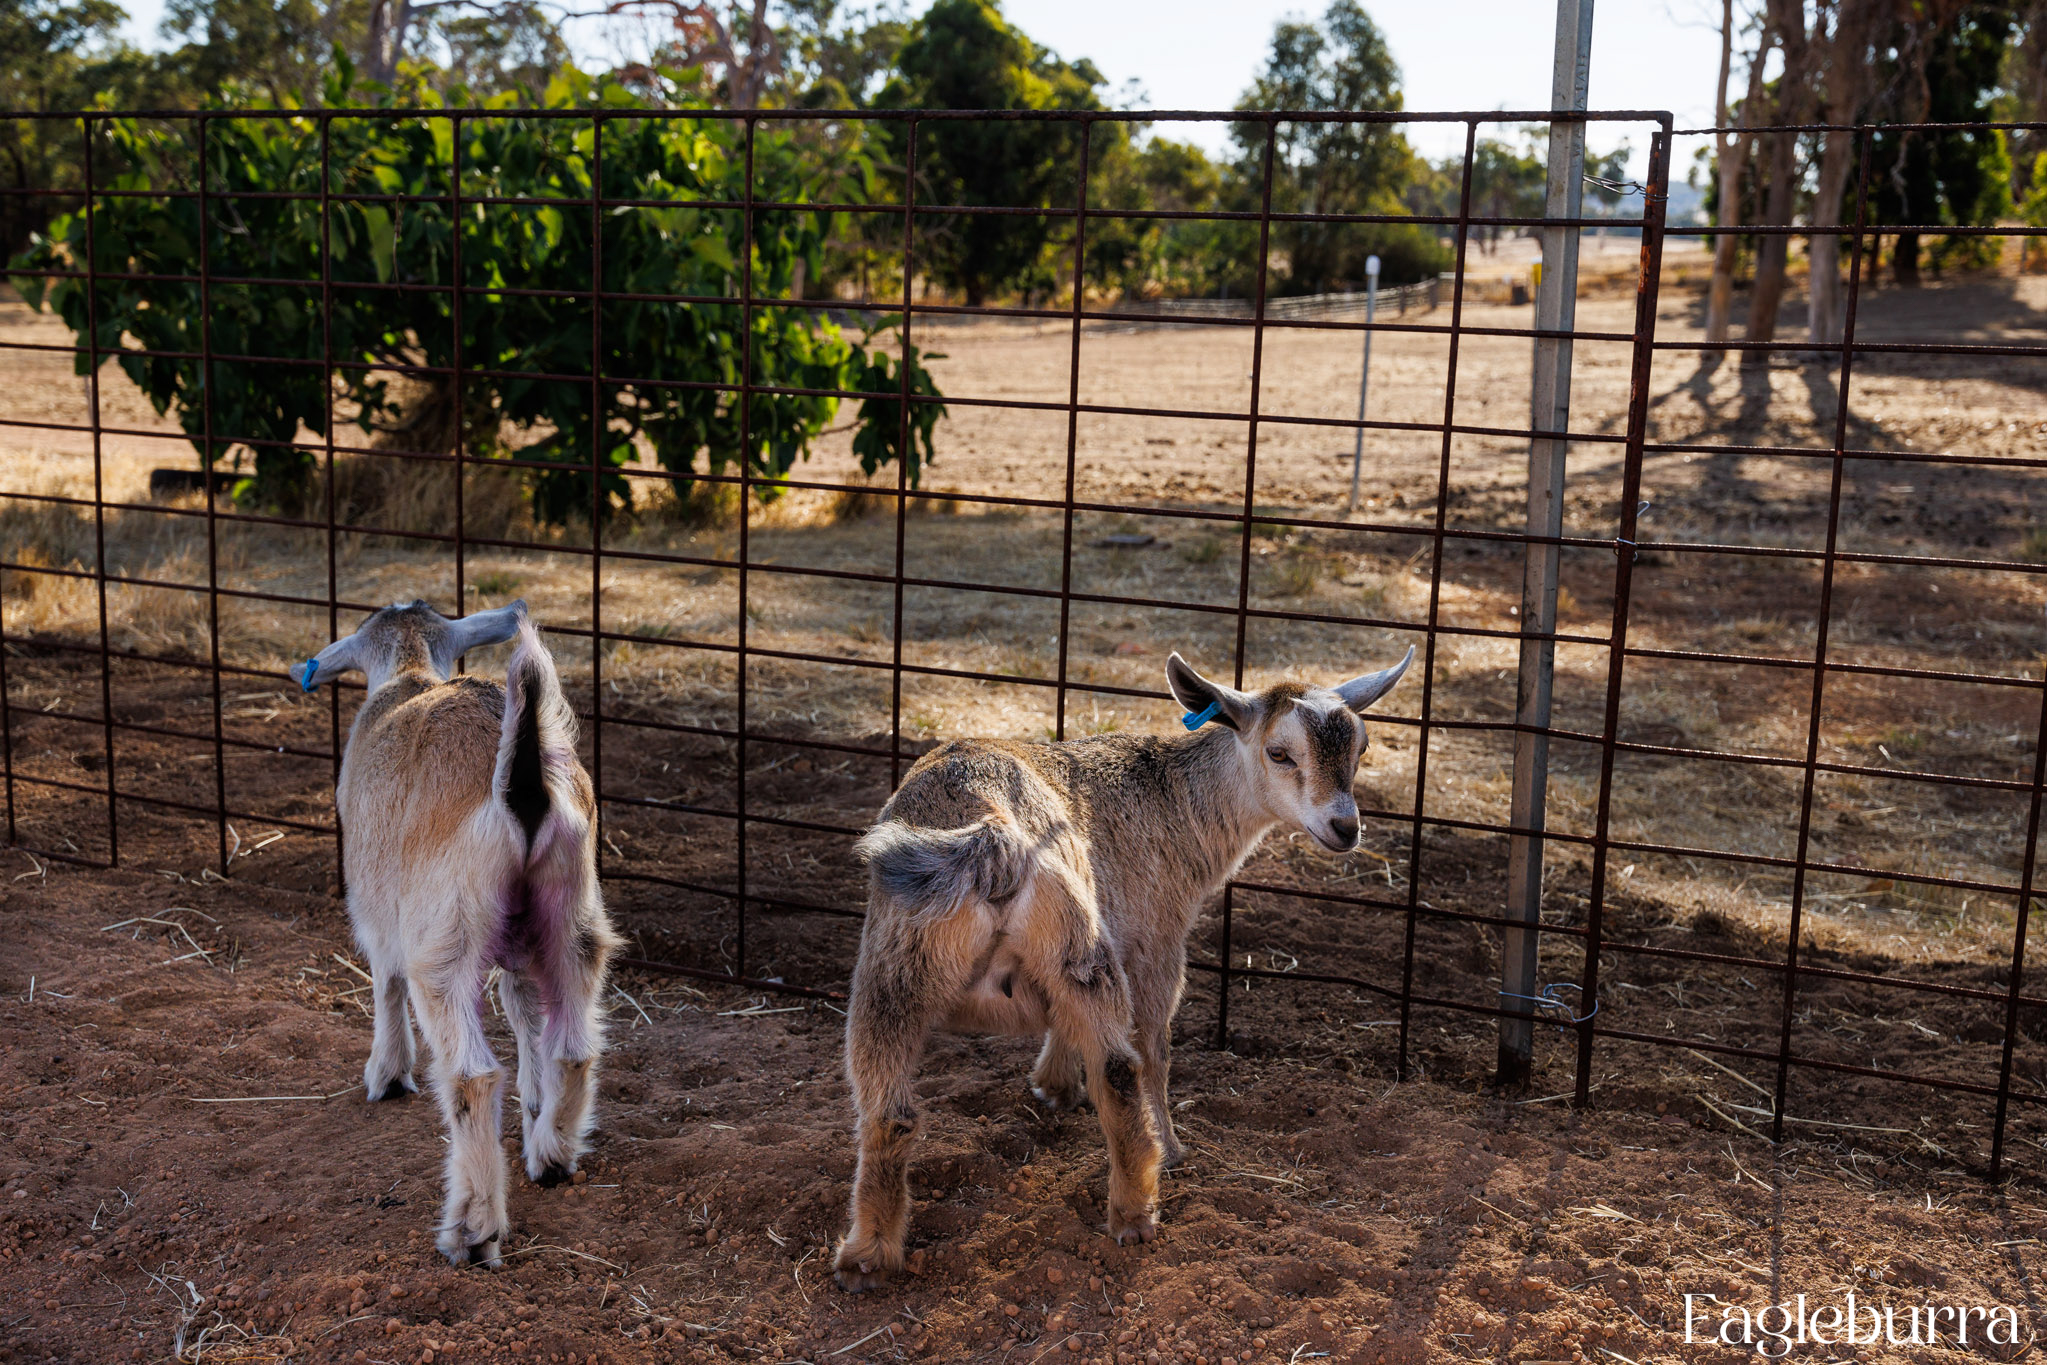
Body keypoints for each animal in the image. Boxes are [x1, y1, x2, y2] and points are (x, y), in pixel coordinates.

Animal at [296, 600, 621, 1267]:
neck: (410, 672)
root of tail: (520, 786)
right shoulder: (521, 946)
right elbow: (525, 1012)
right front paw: (534, 1110)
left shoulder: (378, 910)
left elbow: (385, 981)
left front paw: (387, 1074)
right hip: (571, 917)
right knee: (573, 1044)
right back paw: (551, 1154)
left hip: (443, 942)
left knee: (473, 1074)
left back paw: (472, 1230)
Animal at [832, 646, 1415, 1290]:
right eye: (1279, 752)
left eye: (1361, 750)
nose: (1345, 828)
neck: (1176, 800)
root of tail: (991, 834)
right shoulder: (1156, 936)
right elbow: (1156, 1047)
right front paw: (1171, 1146)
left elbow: (1065, 1025)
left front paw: (1054, 1086)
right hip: (1076, 935)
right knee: (1121, 1069)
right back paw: (1137, 1212)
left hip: (905, 955)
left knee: (890, 1109)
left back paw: (865, 1256)